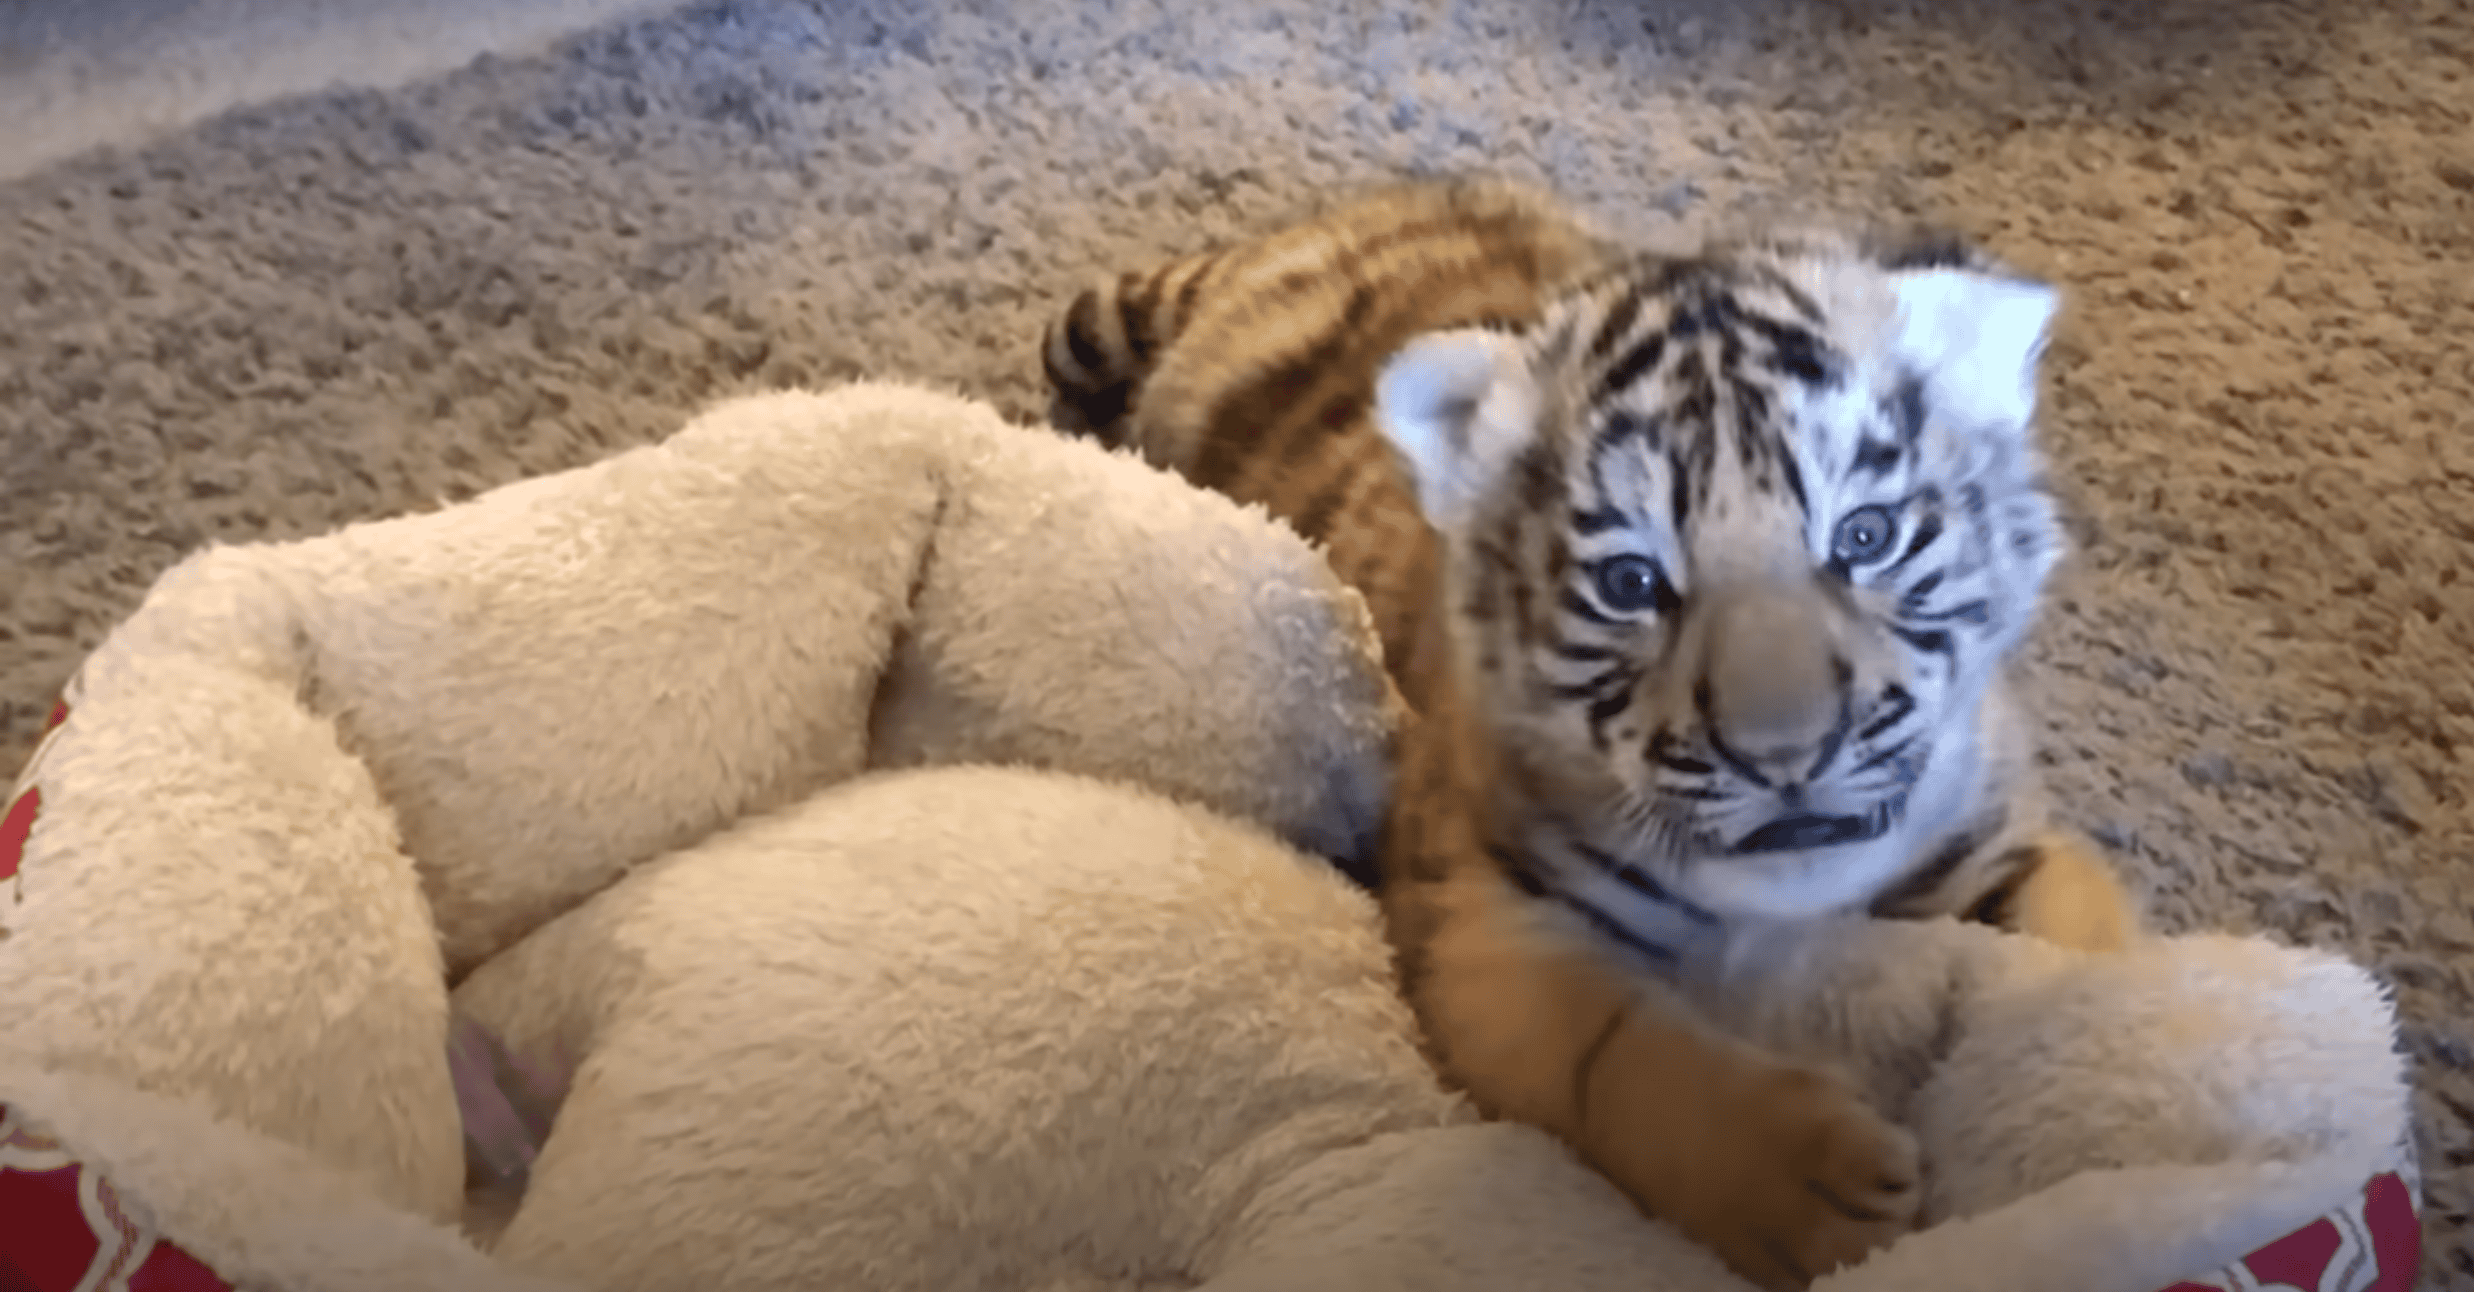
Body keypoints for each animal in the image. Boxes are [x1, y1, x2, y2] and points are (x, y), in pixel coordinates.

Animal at [1039, 179, 2138, 1288]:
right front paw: (1824, 1197)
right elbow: (1617, 1052)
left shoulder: (2000, 835)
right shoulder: (1481, 916)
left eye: (1864, 537)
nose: (1783, 757)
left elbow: (2088, 951)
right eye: (1631, 583)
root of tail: (1357, 216)